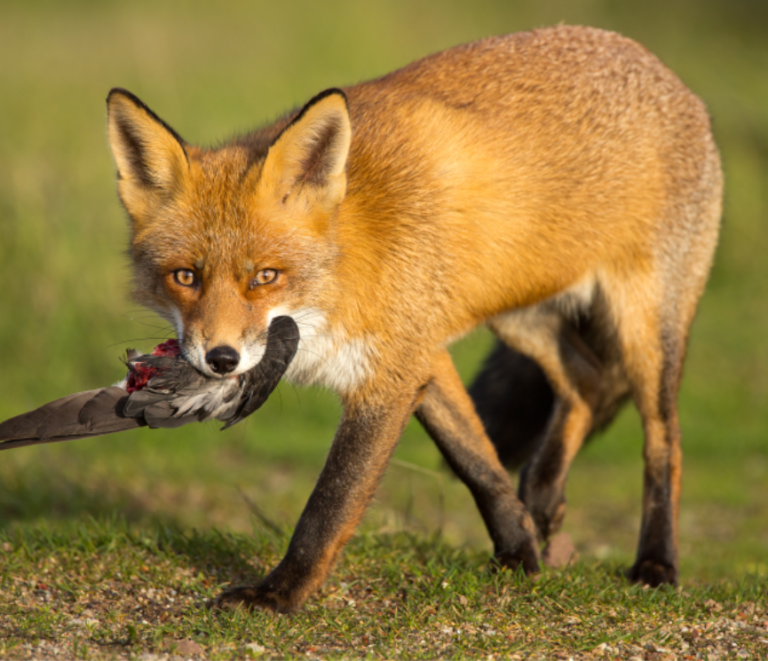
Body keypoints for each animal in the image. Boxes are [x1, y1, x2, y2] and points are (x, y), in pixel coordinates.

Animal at [106, 25, 721, 613]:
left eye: (265, 277)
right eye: (186, 277)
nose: (220, 359)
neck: (348, 266)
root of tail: (658, 67)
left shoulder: (391, 376)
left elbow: (330, 504)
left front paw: (279, 595)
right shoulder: (423, 353)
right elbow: (477, 463)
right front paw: (519, 551)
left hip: (646, 327)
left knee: (664, 441)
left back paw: (656, 564)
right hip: (517, 313)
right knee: (585, 381)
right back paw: (545, 498)